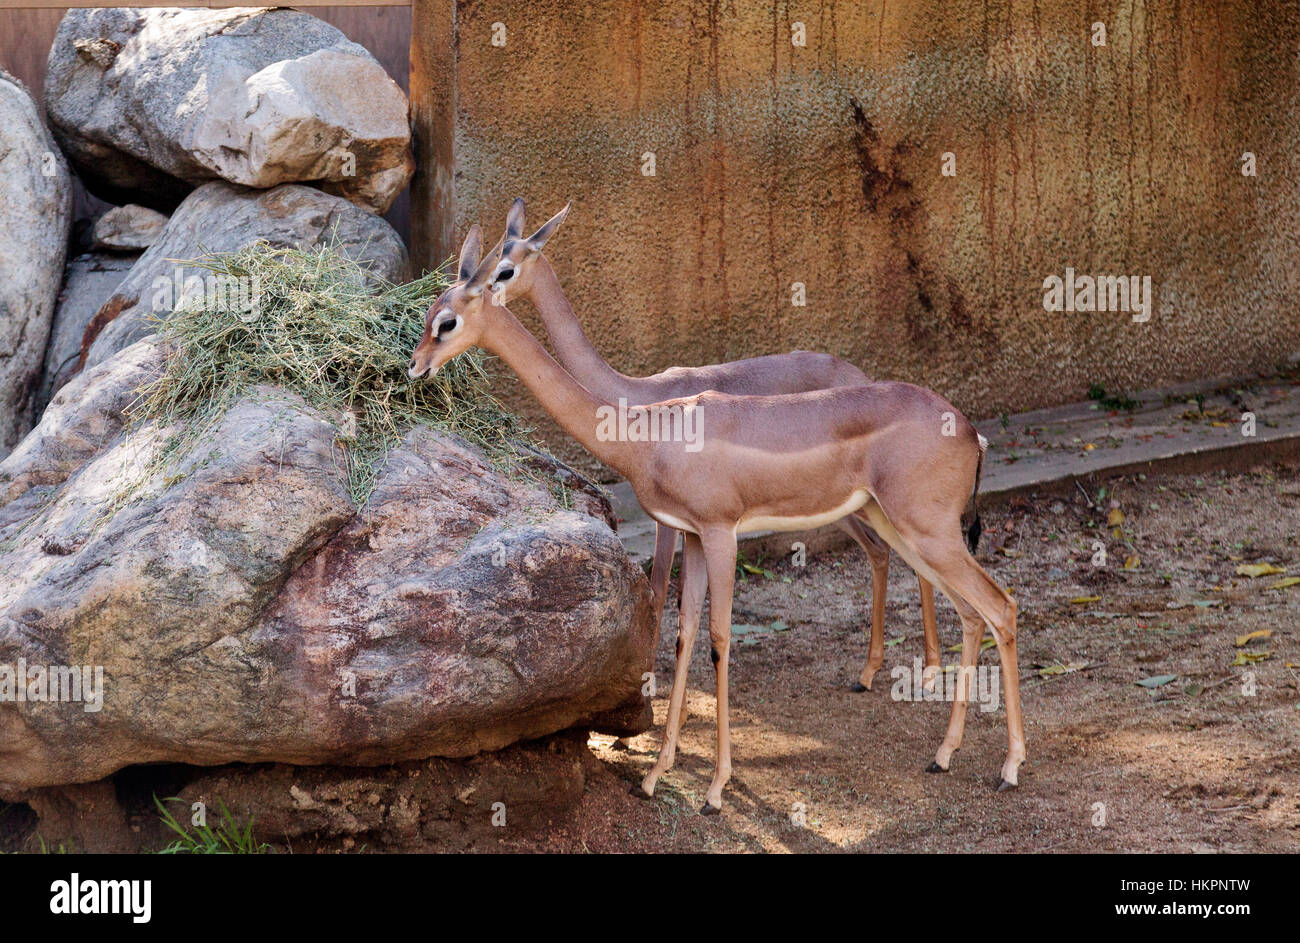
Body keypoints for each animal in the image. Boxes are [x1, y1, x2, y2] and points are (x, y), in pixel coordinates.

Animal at [485, 198, 943, 693]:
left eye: (506, 268)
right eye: (491, 255)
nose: (466, 291)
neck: (636, 397)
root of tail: (861, 376)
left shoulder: (675, 522)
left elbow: (661, 587)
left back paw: (927, 673)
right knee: (882, 551)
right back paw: (869, 672)